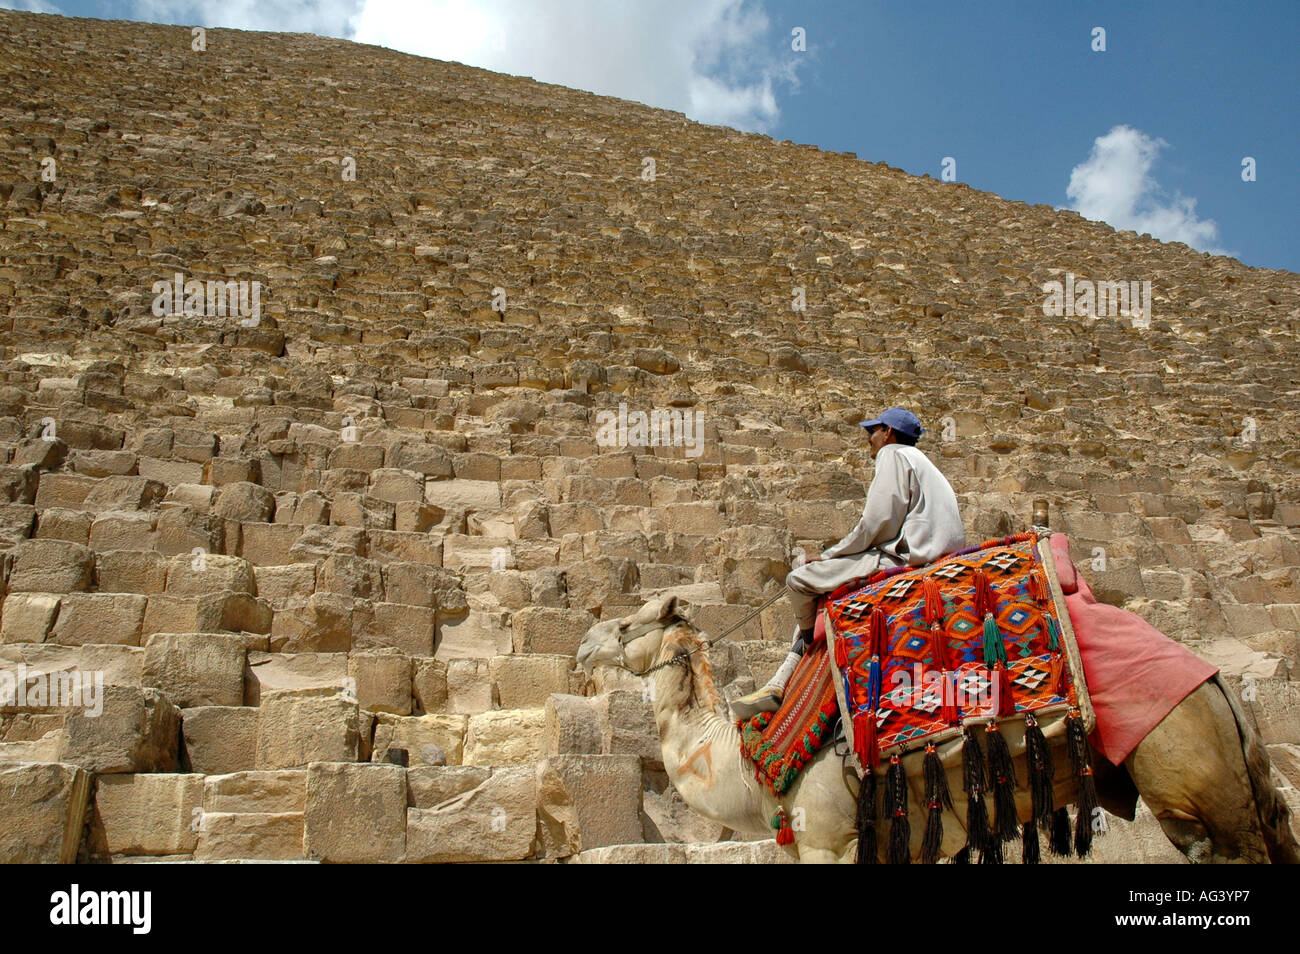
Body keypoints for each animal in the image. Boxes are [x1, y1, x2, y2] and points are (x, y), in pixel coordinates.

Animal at [577, 593, 1300, 864]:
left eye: (627, 623)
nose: (582, 646)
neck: (742, 755)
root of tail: (1217, 683)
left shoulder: (828, 838)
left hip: (1189, 772)